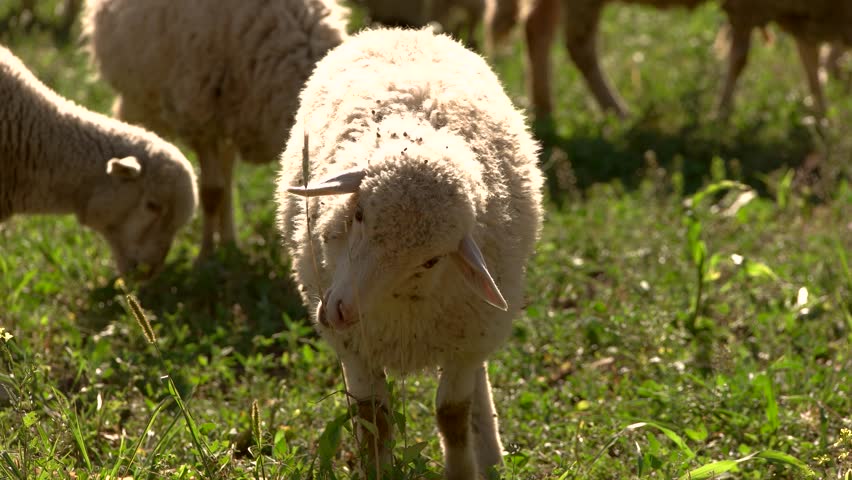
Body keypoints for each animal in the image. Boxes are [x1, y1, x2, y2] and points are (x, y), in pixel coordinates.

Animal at [82, 0, 349, 258]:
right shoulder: (199, 117)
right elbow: (211, 192)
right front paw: (205, 255)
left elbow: (222, 186)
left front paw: (224, 246)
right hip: (140, 97)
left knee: (227, 172)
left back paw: (230, 240)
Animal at [275, 27, 544, 479]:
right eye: (359, 213)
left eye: (430, 261)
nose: (342, 310)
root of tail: (408, 32)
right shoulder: (354, 346)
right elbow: (373, 421)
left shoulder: (465, 340)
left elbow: (452, 415)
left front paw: (462, 470)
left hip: (479, 325)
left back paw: (490, 457)